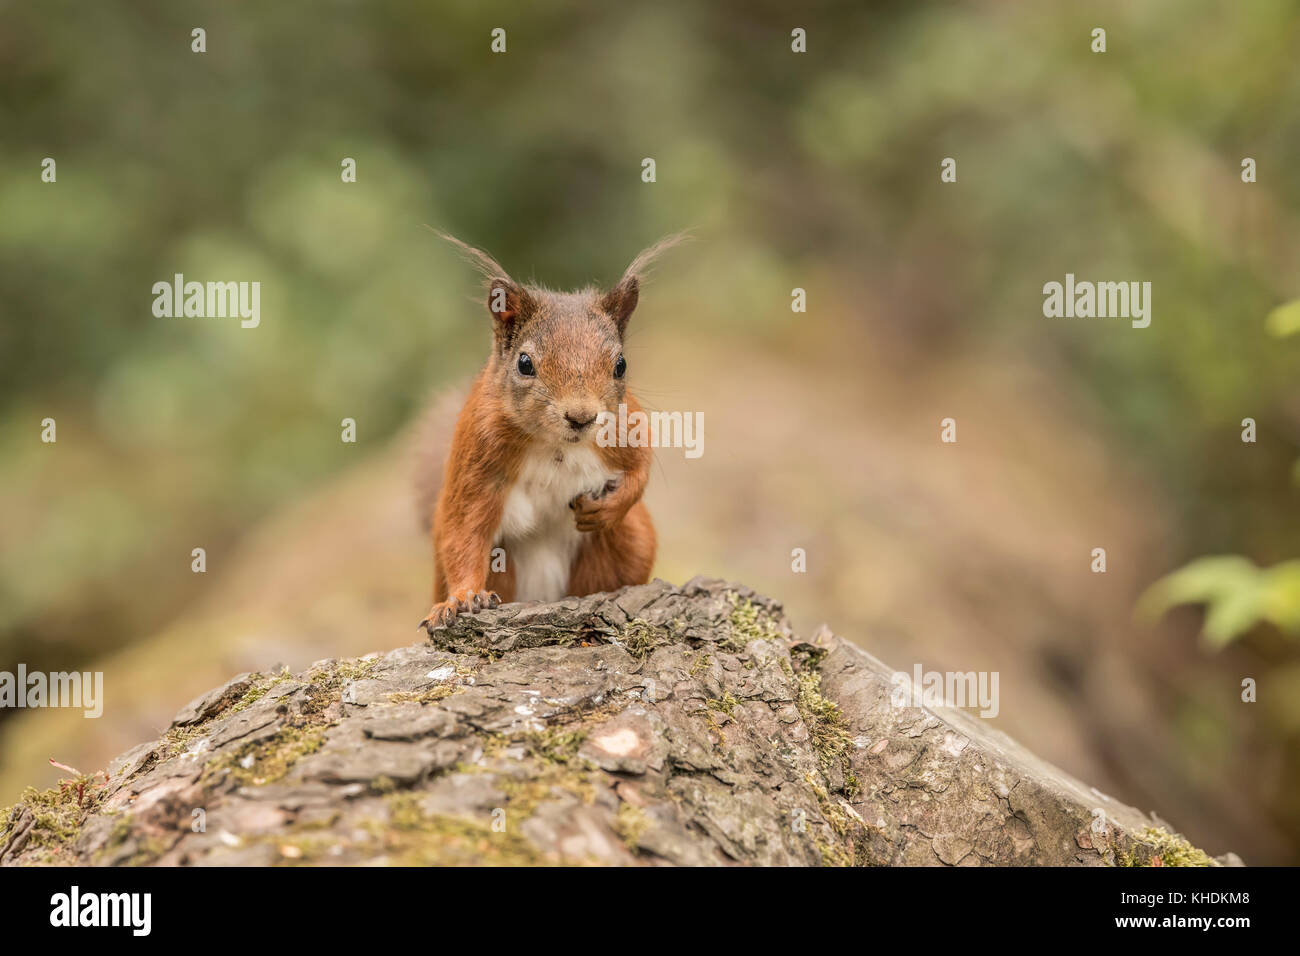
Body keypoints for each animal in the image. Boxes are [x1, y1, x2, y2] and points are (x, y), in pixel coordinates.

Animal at [416, 234, 683, 633]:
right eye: (524, 364)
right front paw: (462, 598)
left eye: (621, 365)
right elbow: (463, 528)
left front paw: (609, 507)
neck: (554, 443)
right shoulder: (478, 451)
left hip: (630, 543)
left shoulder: (626, 426)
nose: (581, 417)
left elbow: (640, 471)